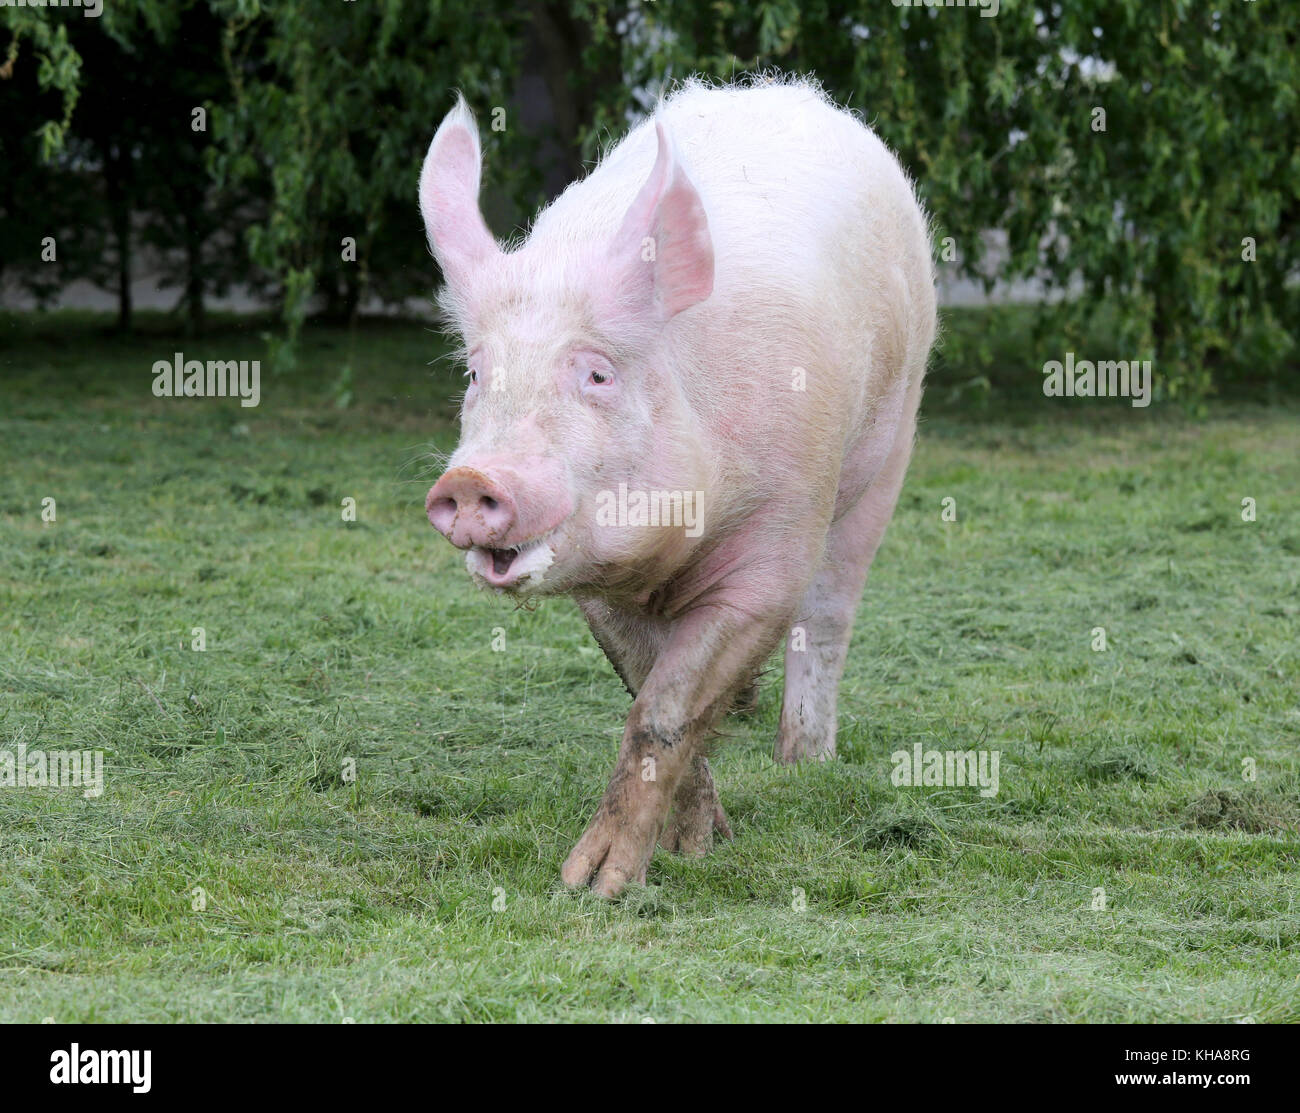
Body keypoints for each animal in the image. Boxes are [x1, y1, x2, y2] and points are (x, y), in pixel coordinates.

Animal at [420, 76, 936, 898]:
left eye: (598, 374)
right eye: (475, 372)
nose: (471, 479)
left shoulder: (775, 542)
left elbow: (666, 708)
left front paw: (592, 884)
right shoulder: (600, 588)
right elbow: (649, 689)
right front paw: (696, 845)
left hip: (894, 436)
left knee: (830, 615)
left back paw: (804, 763)